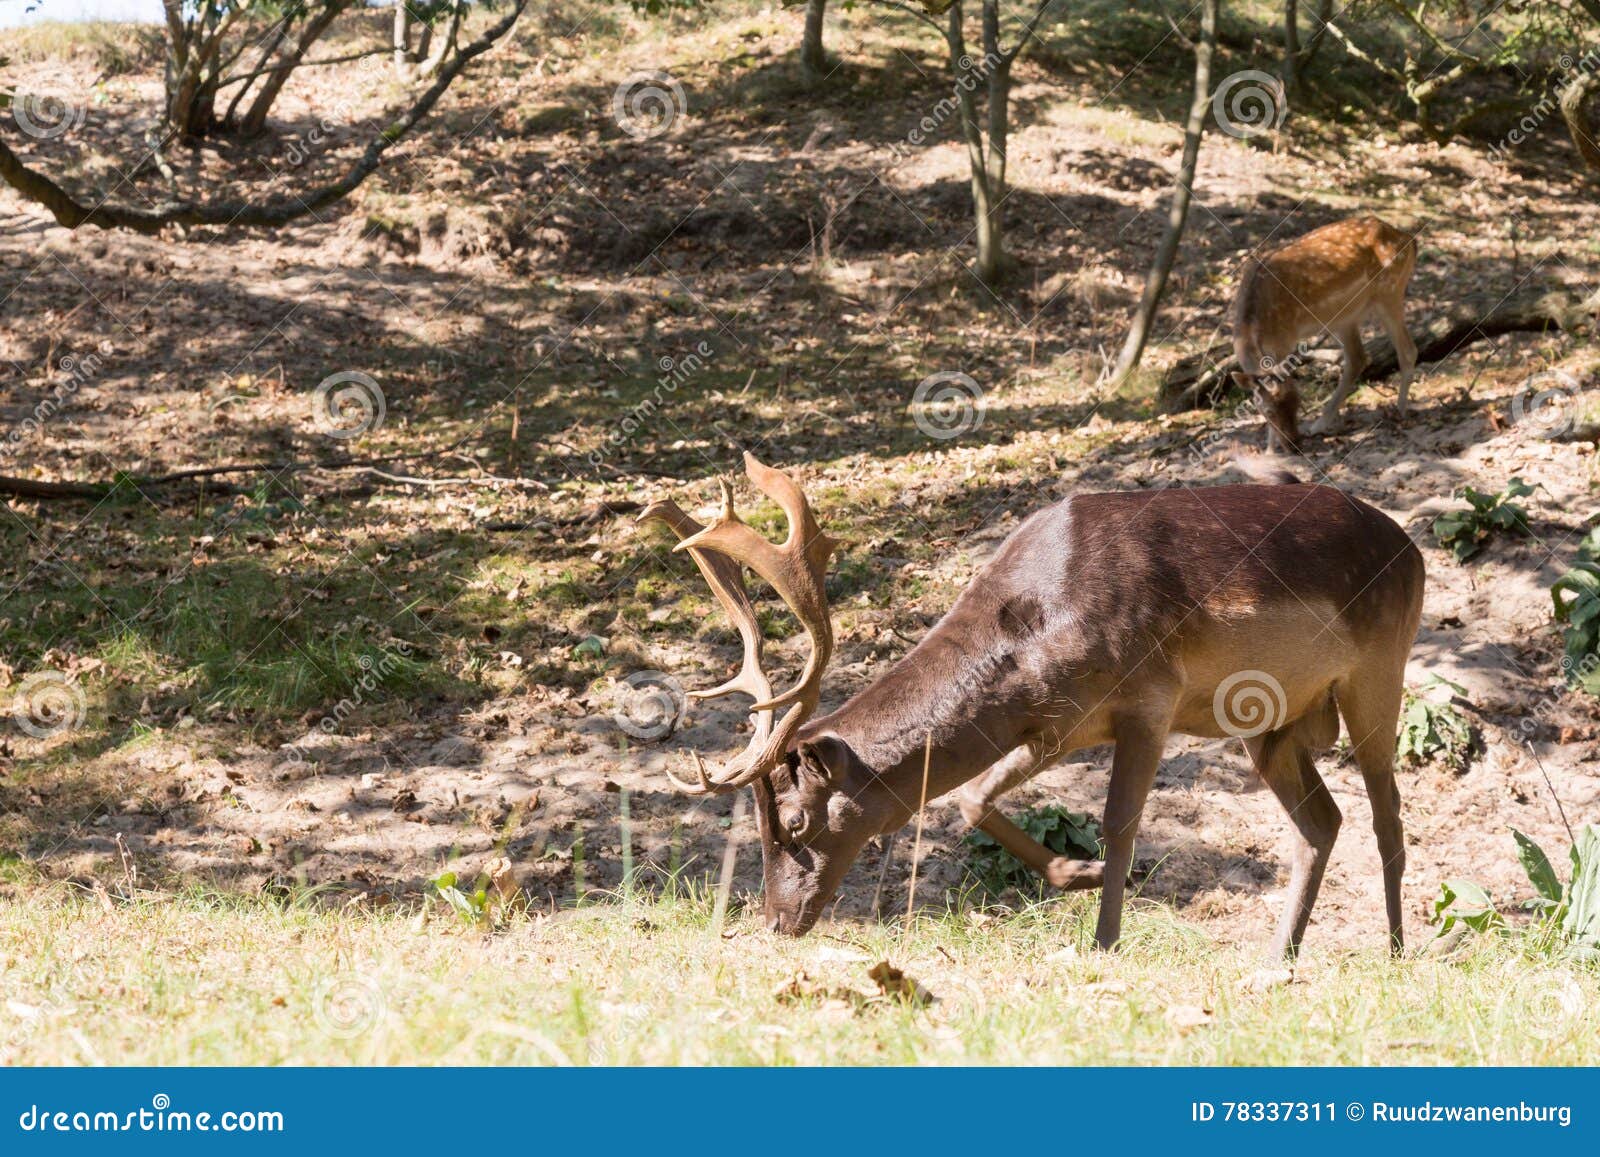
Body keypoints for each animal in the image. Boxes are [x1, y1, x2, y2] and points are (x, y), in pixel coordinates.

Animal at [638, 453, 1425, 958]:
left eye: (797, 821)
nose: (776, 921)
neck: (1032, 634)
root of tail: (1411, 545)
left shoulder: (1151, 696)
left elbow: (1118, 825)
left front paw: (1103, 942)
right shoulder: (1056, 723)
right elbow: (972, 798)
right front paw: (1075, 877)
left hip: (1379, 671)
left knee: (1387, 815)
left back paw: (1394, 950)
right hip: (1275, 723)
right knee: (1322, 822)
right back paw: (1278, 959)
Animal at [1231, 215, 1420, 454]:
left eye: (1298, 402)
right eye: (1268, 411)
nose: (1295, 445)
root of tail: (1410, 239)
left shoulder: (1286, 338)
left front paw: (1271, 450)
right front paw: (1270, 449)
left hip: (1390, 290)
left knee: (1407, 350)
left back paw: (1400, 410)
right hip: (1346, 317)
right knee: (1358, 358)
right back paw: (1320, 424)